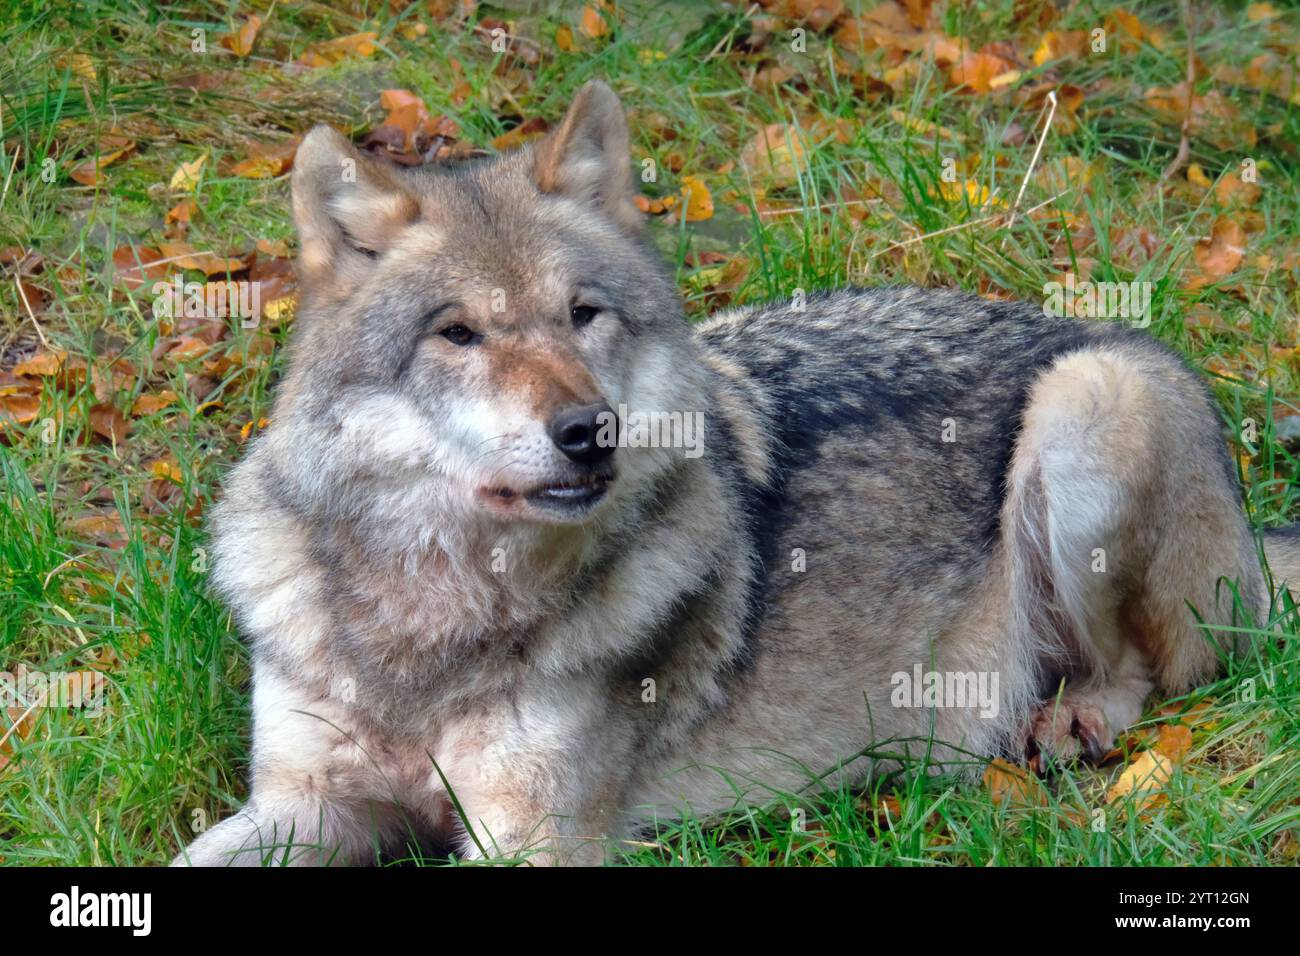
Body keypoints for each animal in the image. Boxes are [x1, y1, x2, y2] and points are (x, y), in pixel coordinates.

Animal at [175, 81, 1300, 866]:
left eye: (583, 314)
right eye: (458, 334)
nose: (588, 429)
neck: (425, 630)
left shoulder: (535, 834)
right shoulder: (302, 802)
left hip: (1089, 403)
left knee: (1157, 670)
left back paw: (1067, 720)